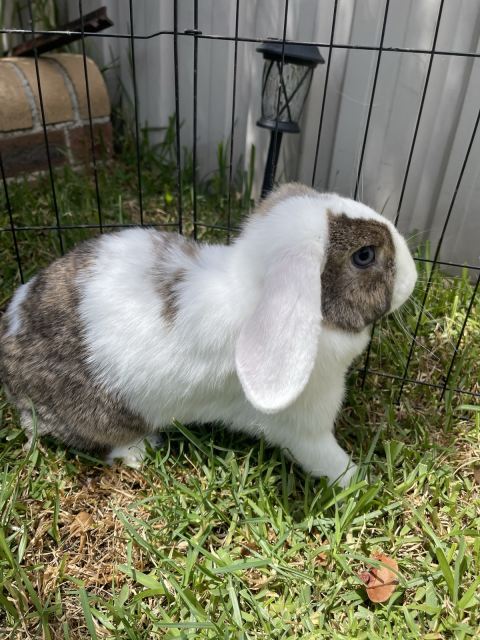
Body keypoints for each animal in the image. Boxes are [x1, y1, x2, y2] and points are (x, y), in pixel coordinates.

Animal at [0, 183, 417, 486]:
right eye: (364, 256)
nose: (413, 277)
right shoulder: (306, 430)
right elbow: (329, 460)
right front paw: (362, 483)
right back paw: (138, 451)